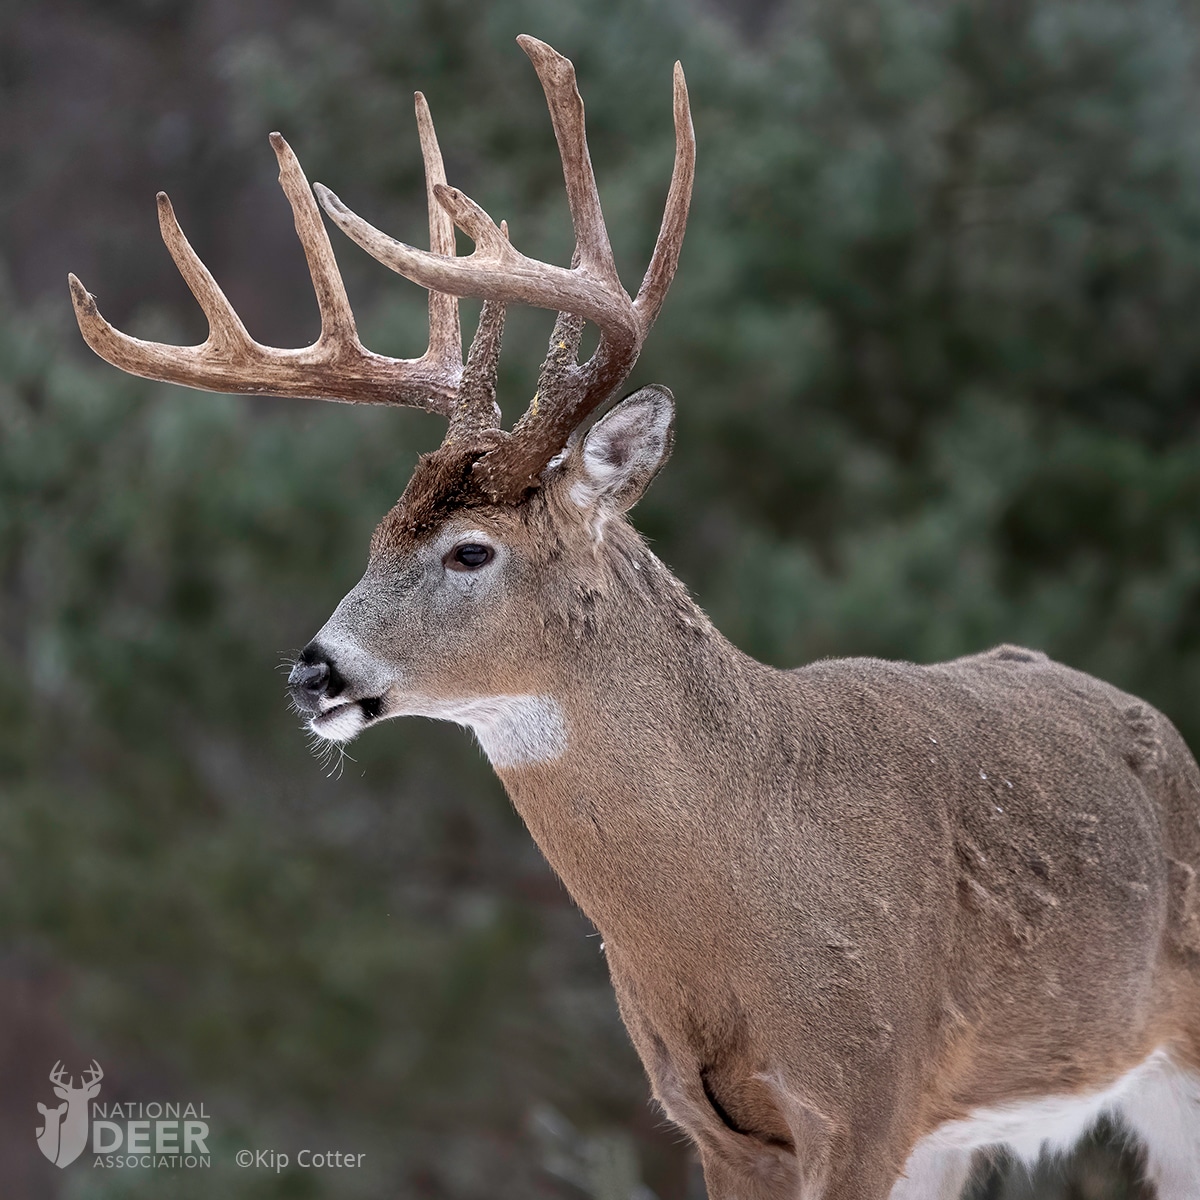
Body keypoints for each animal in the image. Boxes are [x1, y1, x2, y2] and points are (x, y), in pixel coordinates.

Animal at [68, 34, 1200, 1200]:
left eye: (471, 550)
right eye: (378, 532)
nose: (315, 672)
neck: (744, 891)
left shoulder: (868, 1097)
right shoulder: (717, 1124)